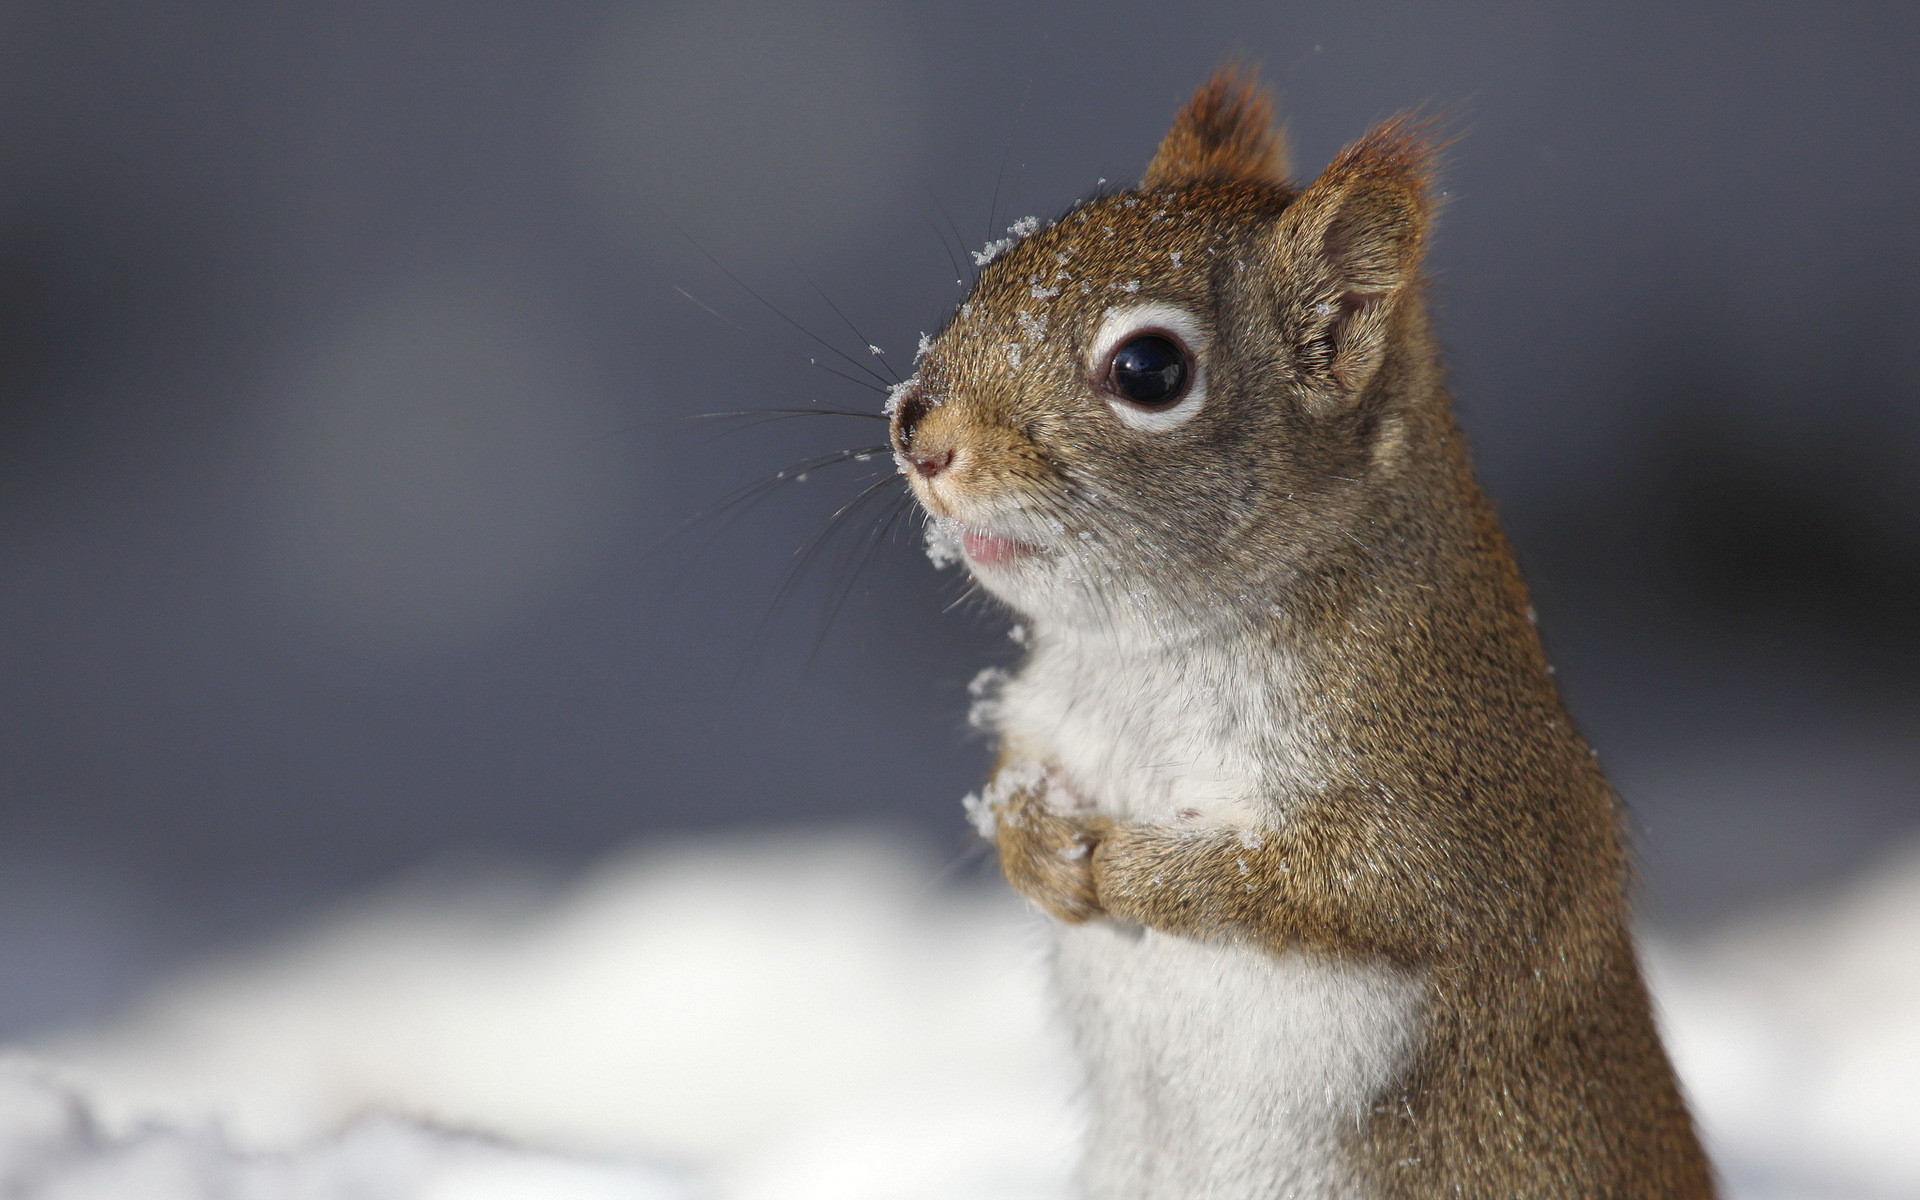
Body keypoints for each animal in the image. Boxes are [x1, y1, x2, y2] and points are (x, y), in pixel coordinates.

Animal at [887, 69, 1716, 1200]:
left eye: (1149, 369)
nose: (915, 430)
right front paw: (1038, 844)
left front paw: (1132, 871)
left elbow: (1331, 889)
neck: (1146, 652)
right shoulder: (1047, 709)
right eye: (997, 268)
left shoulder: (1441, 810)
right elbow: (1016, 766)